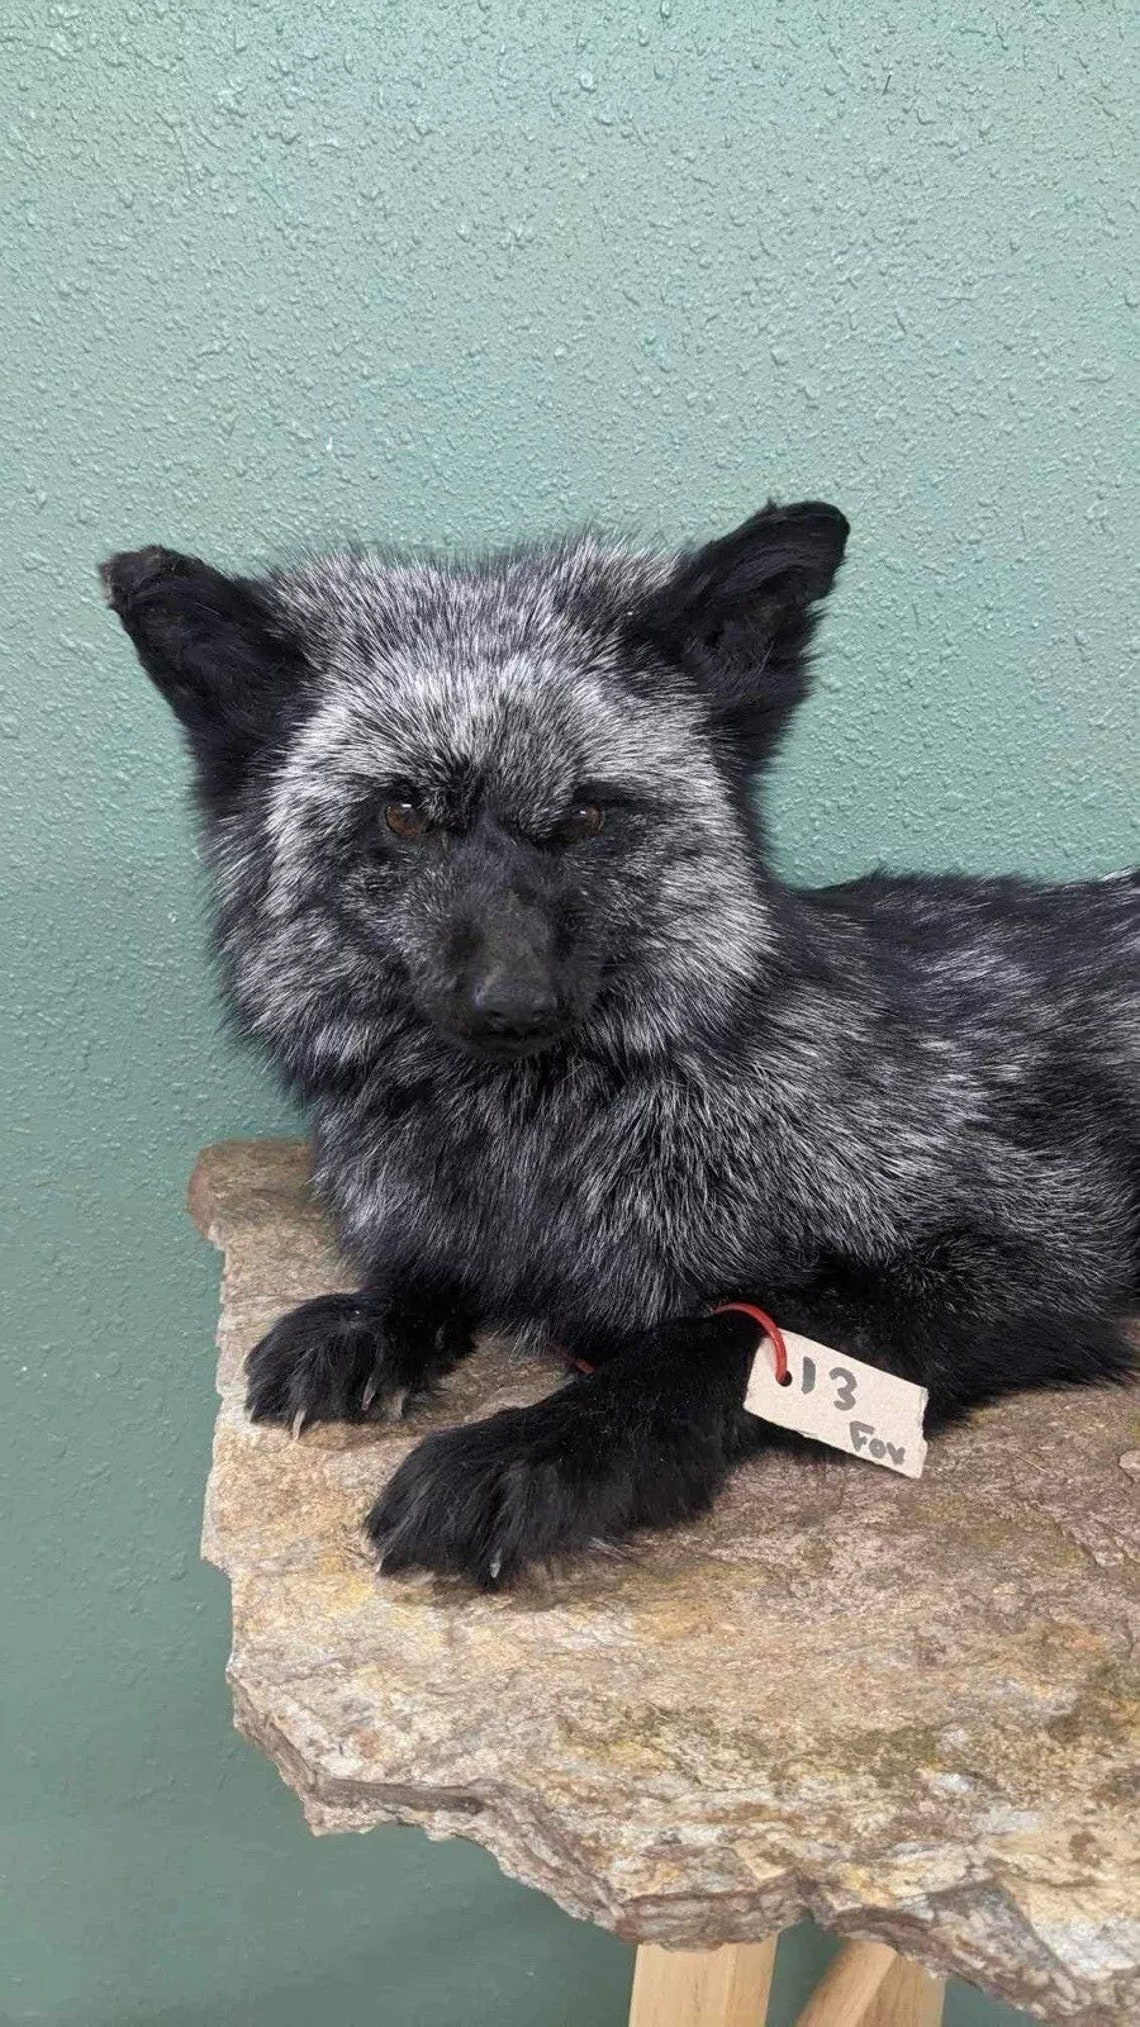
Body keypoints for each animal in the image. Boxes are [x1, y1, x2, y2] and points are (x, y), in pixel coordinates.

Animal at [101, 502, 1140, 1586]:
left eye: (589, 813)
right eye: (405, 813)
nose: (513, 1003)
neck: (535, 1147)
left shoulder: (1029, 1252)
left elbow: (719, 1336)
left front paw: (535, 1447)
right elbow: (421, 1270)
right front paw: (363, 1322)